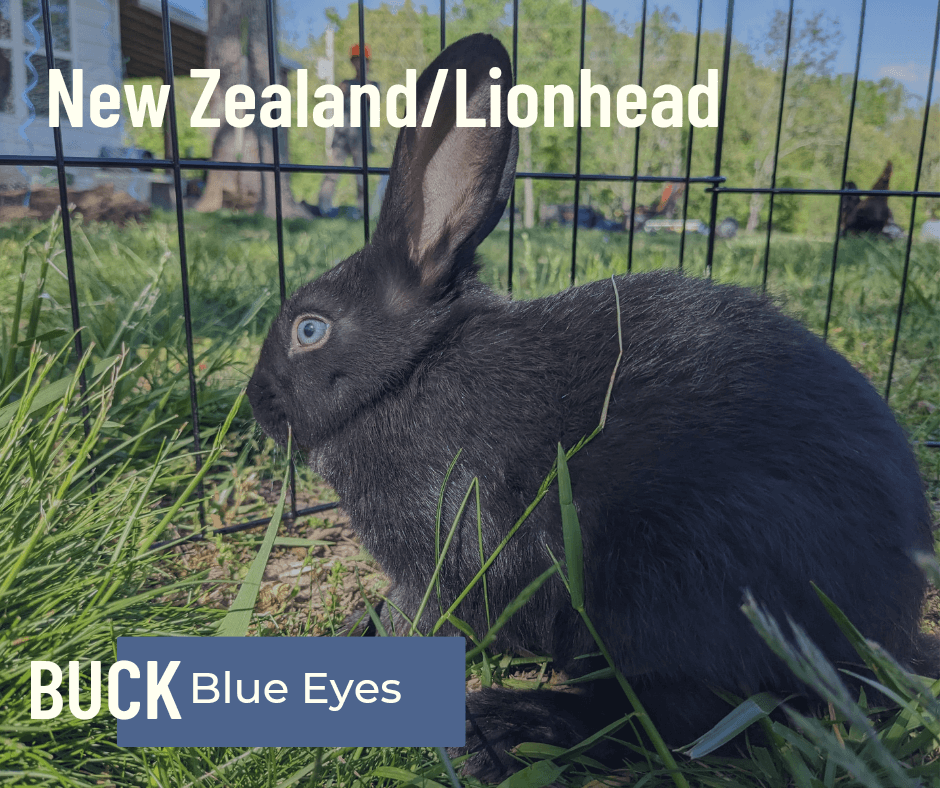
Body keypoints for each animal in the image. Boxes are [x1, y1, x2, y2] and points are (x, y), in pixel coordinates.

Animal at [247, 33, 937, 781]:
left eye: (309, 329)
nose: (256, 401)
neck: (407, 375)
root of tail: (890, 624)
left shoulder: (447, 558)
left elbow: (418, 616)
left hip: (675, 578)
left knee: (682, 714)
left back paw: (503, 730)